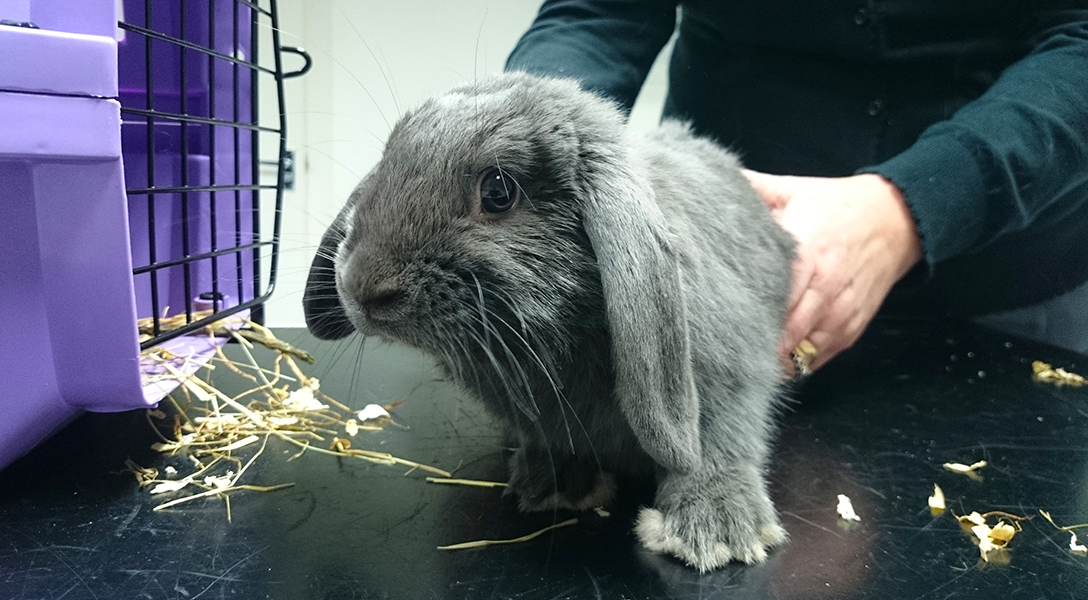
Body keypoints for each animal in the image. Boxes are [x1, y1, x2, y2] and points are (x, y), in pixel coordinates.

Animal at [303, 72, 797, 572]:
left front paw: (714, 529)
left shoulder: (731, 377)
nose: (361, 288)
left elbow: (718, 442)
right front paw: (553, 485)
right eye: (389, 158)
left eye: (498, 190)